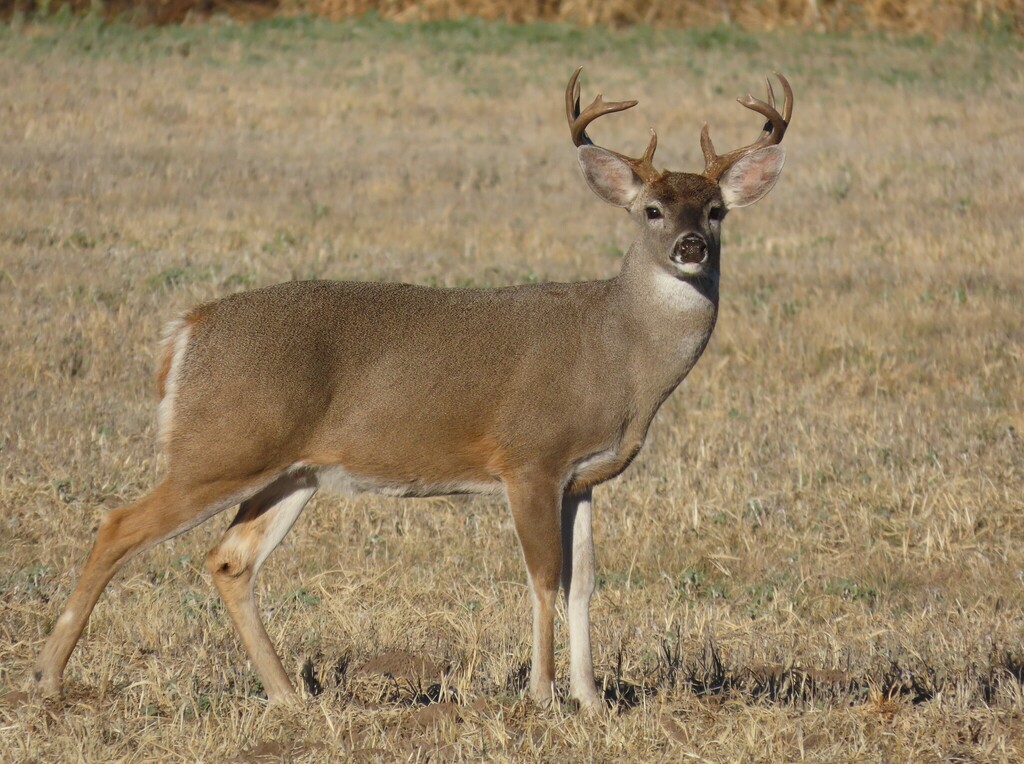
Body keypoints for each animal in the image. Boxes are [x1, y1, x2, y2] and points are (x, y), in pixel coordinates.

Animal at [30, 67, 792, 710]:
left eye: (716, 210)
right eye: (652, 210)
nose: (691, 248)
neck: (619, 353)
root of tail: (185, 330)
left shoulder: (584, 477)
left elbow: (584, 586)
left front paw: (592, 700)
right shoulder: (530, 458)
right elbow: (543, 580)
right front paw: (544, 696)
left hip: (290, 470)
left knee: (228, 559)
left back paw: (289, 696)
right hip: (220, 447)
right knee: (118, 526)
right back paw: (48, 679)